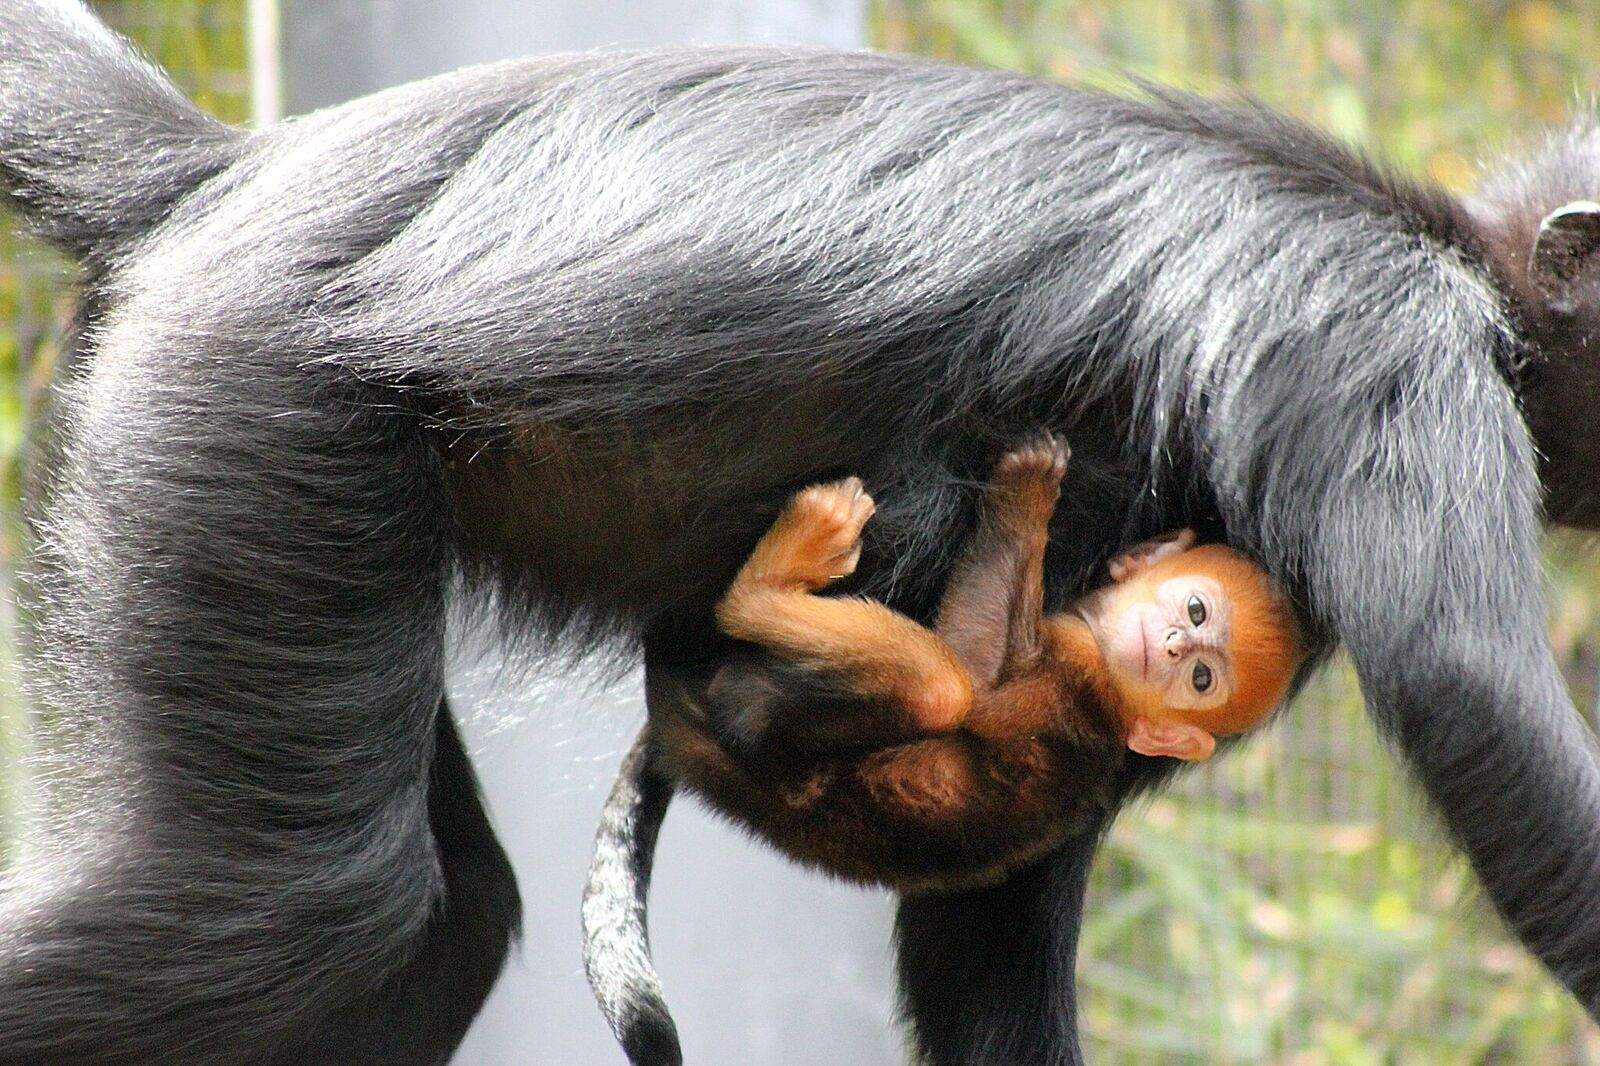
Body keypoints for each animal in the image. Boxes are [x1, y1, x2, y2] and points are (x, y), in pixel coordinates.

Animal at [5, 3, 1600, 1063]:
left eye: (1206, 655)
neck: (1451, 259)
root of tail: (230, 176)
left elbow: (991, 923)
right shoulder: (1386, 346)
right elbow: (1472, 699)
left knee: (429, 930)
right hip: (246, 406)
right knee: (300, 913)